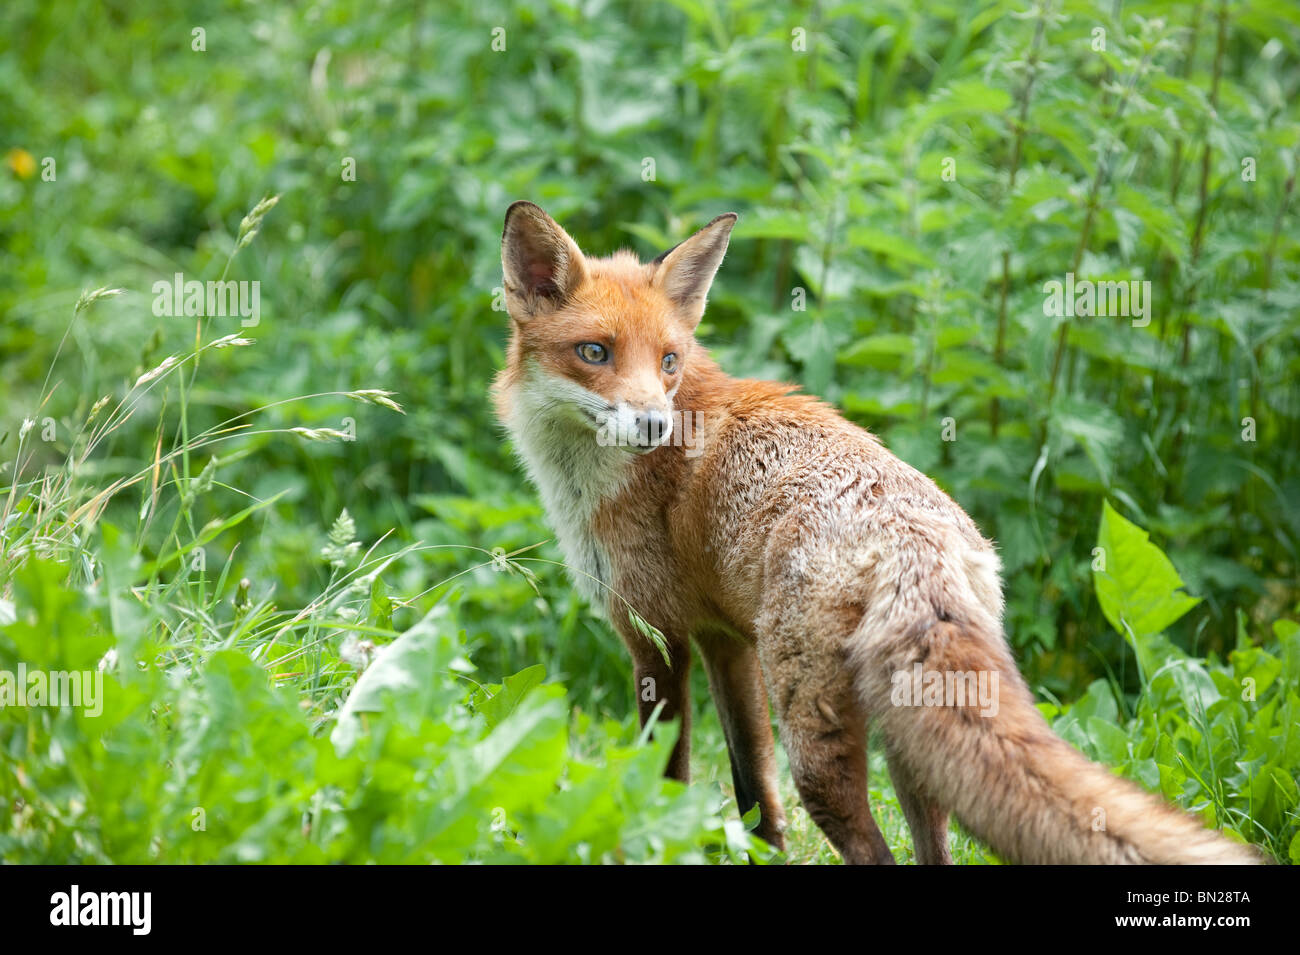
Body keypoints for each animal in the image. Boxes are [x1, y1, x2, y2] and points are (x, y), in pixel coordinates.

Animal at [492, 200, 1261, 865]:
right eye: (595, 352)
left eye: (668, 362)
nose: (653, 423)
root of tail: (914, 539)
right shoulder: (724, 640)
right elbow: (755, 796)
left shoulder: (655, 635)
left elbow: (666, 782)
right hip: (912, 740)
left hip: (818, 738)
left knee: (872, 848)